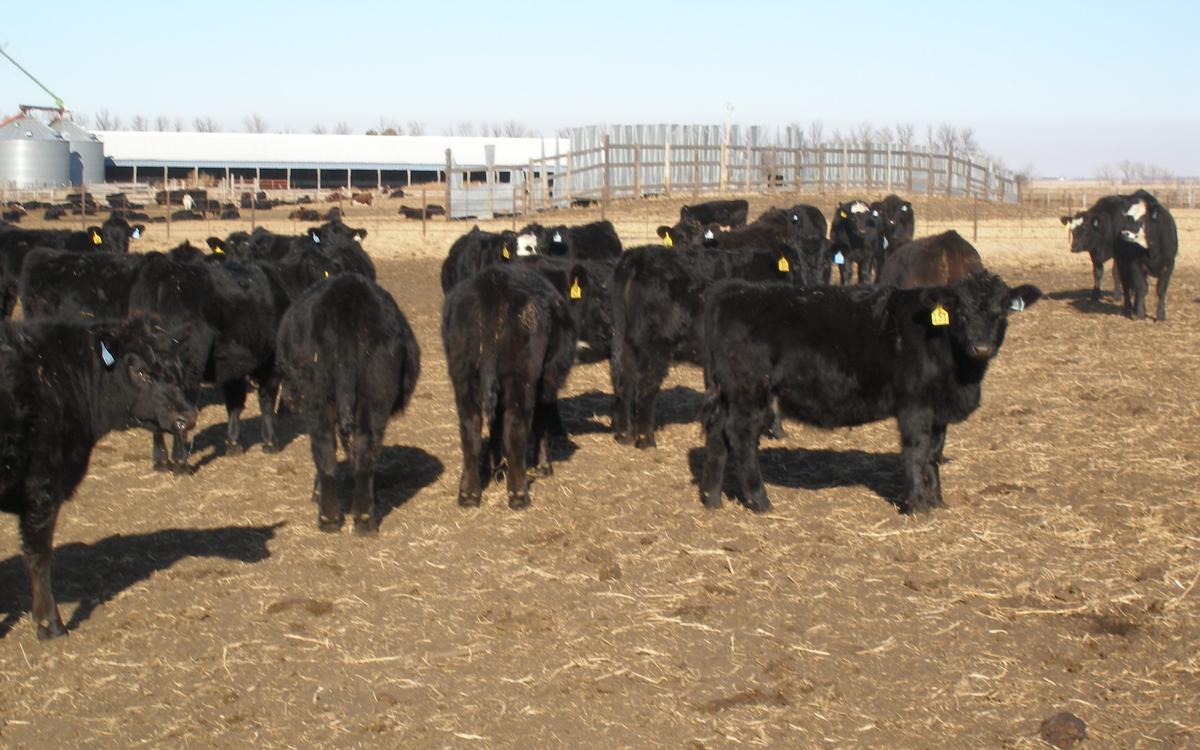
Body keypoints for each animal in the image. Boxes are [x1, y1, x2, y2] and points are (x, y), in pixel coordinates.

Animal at [0, 316, 196, 639]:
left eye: (179, 371)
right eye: (141, 370)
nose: (187, 418)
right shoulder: (42, 487)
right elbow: (38, 556)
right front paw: (50, 624)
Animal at [276, 274, 420, 534]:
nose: (288, 401)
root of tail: (347, 299)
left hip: (318, 400)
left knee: (325, 453)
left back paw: (328, 518)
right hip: (372, 400)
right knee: (364, 453)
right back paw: (363, 519)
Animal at [443, 265, 577, 509]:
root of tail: (491, 286)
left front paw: (492, 464)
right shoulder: (546, 379)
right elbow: (540, 423)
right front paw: (543, 465)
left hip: (463, 377)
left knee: (471, 431)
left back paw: (469, 493)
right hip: (521, 379)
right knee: (516, 429)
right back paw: (518, 494)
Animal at [609, 244, 803, 448]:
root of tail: (637, 255)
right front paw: (776, 430)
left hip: (625, 341)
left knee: (624, 380)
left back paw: (624, 435)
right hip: (656, 343)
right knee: (645, 384)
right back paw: (646, 440)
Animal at [698, 272, 1042, 514]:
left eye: (1002, 312)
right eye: (961, 311)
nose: (981, 347)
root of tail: (734, 289)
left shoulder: (938, 410)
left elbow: (934, 452)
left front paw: (937, 500)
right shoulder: (914, 405)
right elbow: (917, 451)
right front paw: (918, 505)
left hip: (728, 392)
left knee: (718, 434)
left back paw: (713, 498)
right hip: (749, 390)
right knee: (741, 436)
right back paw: (760, 501)